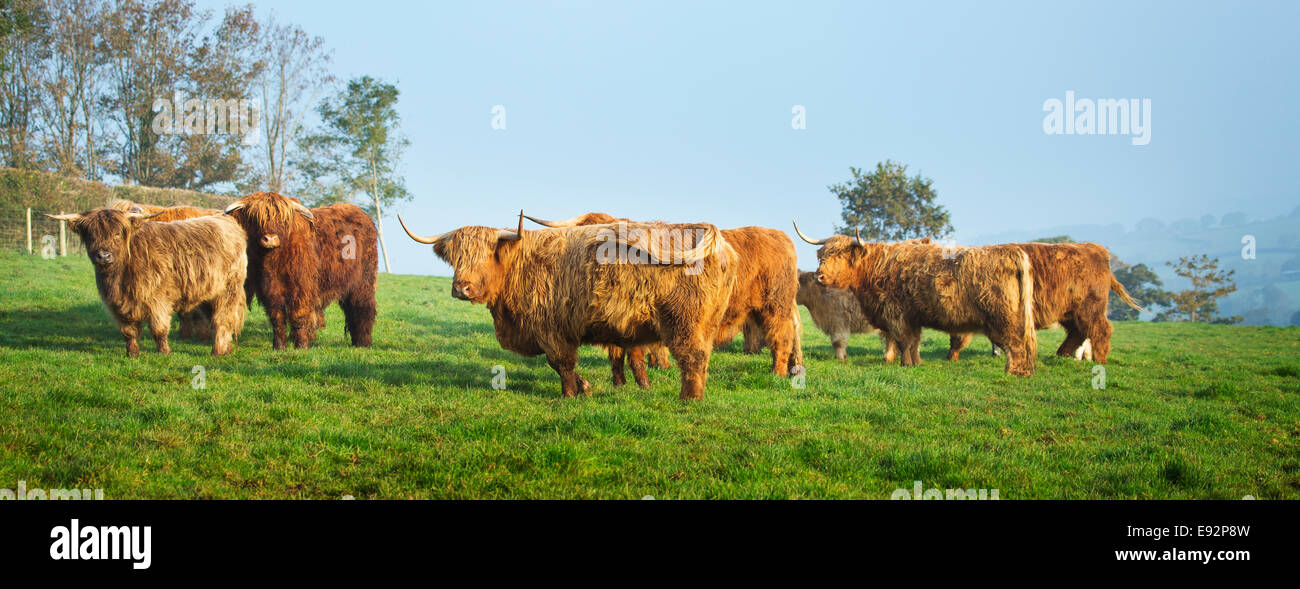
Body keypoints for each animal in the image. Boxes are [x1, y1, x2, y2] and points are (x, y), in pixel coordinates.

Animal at [47, 208, 247, 357]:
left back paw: (218, 351)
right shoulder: (118, 306)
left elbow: (159, 329)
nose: (103, 256)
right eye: (90, 235)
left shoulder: (158, 300)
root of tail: (225, 220)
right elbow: (128, 332)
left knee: (223, 319)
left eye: (117, 233)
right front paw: (132, 354)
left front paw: (163, 352)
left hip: (228, 290)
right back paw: (227, 348)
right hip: (206, 292)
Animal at [222, 192, 377, 350]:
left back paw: (363, 343)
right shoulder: (270, 291)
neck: (273, 262)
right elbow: (277, 317)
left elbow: (299, 316)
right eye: (255, 218)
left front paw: (301, 346)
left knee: (363, 307)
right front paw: (279, 346)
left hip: (364, 280)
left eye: (282, 220)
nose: (270, 239)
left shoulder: (301, 288)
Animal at [399, 213, 737, 400]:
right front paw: (584, 387)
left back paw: (689, 399)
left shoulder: (550, 328)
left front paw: (572, 393)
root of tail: (713, 236)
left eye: (485, 255)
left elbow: (561, 363)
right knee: (701, 358)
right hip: (704, 324)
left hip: (685, 323)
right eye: (455, 258)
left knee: (692, 358)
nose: (461, 288)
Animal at [794, 223, 1037, 376]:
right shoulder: (912, 317)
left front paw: (905, 364)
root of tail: (1011, 252)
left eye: (840, 255)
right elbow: (914, 343)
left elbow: (903, 341)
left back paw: (1015, 372)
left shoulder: (896, 314)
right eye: (822, 255)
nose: (819, 276)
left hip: (1003, 318)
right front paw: (916, 363)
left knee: (1015, 344)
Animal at [946, 242, 1141, 364]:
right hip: (1069, 313)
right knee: (1078, 332)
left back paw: (1099, 359)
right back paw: (1062, 354)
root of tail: (1094, 248)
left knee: (1100, 330)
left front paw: (951, 357)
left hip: (1089, 308)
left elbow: (959, 337)